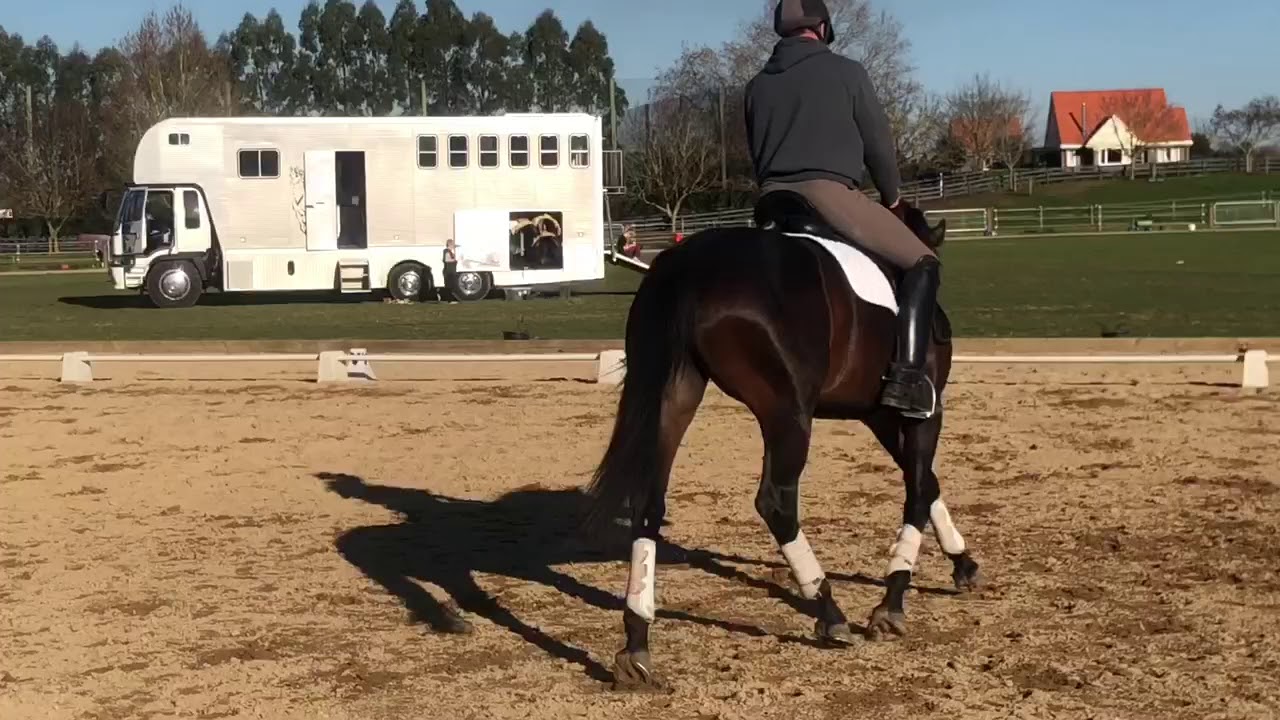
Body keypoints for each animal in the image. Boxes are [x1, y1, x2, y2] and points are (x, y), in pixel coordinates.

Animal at [582, 190, 983, 689]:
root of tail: (691, 265)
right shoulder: (923, 411)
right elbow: (918, 488)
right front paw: (892, 601)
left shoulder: (879, 415)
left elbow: (927, 484)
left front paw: (962, 563)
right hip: (787, 412)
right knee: (775, 501)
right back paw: (828, 610)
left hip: (675, 392)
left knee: (649, 502)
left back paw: (637, 641)